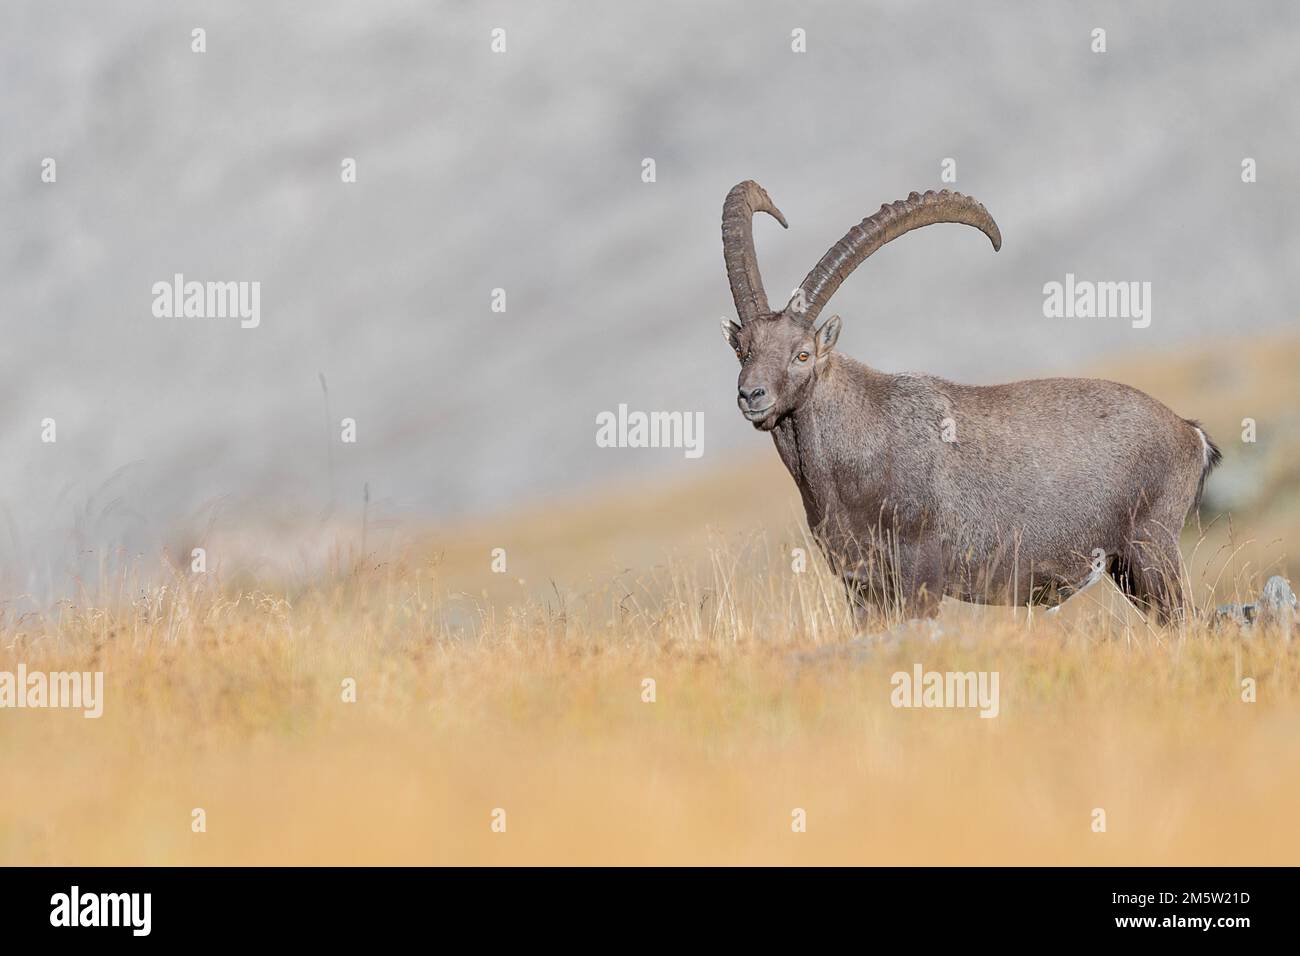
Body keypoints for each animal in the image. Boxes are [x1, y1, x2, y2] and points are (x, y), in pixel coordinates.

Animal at [720, 181, 1220, 624]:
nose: (752, 395)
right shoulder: (860, 585)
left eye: (802, 353)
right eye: (742, 349)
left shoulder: (919, 575)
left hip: (1151, 551)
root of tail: (1190, 433)